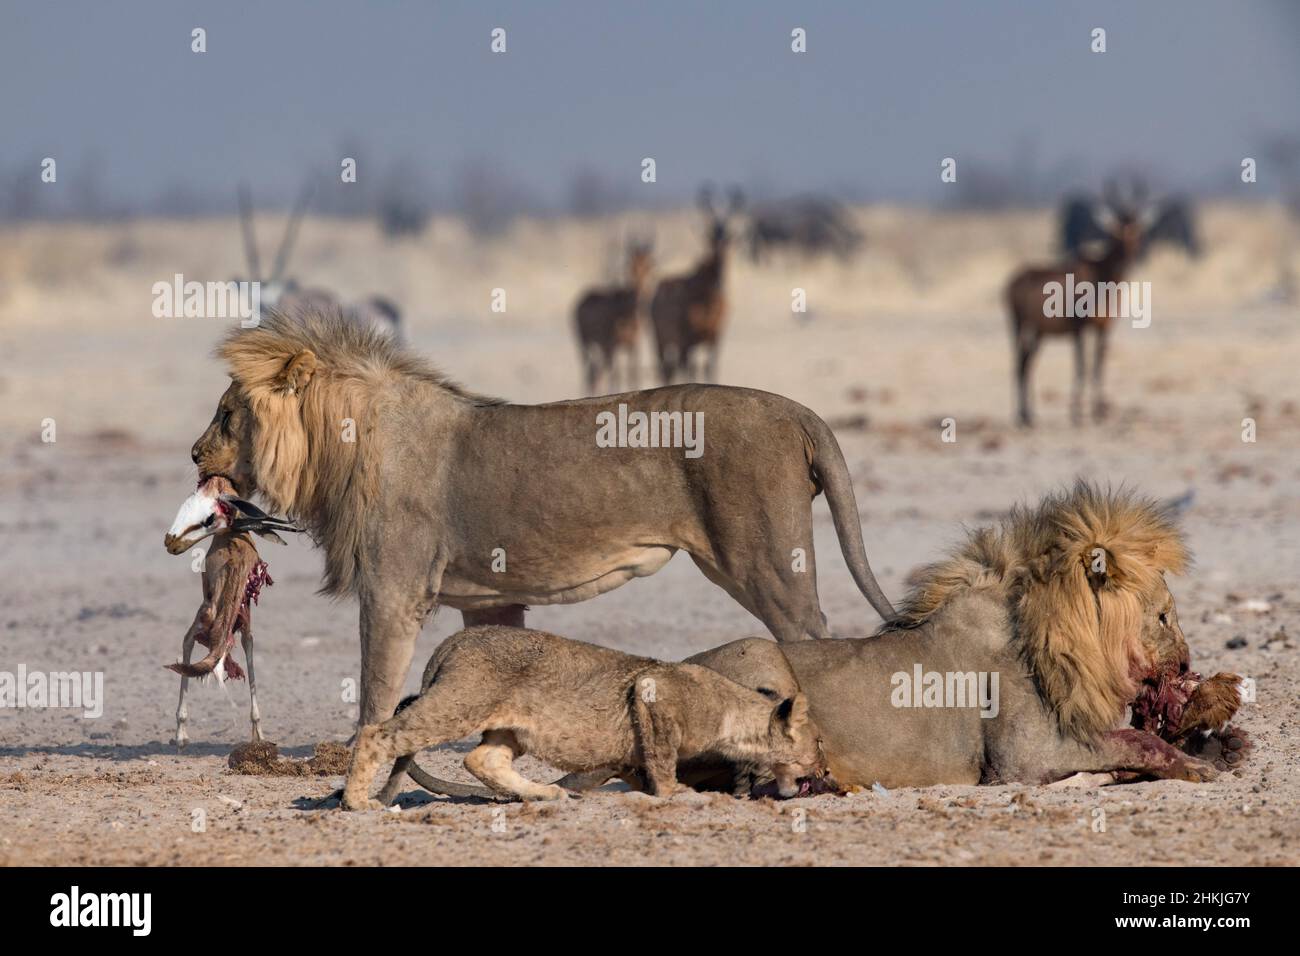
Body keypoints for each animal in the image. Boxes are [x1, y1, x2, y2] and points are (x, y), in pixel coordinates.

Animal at [185, 308, 896, 729]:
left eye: (226, 414)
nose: (193, 453)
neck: (346, 443)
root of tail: (799, 411)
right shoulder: (490, 600)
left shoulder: (392, 590)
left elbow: (376, 688)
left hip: (765, 565)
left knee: (812, 636)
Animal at [339, 625, 825, 809]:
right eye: (818, 743)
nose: (824, 771)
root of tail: (456, 639)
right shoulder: (652, 691)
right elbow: (663, 761)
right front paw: (677, 793)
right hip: (460, 703)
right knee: (377, 733)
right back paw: (357, 801)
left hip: (509, 727)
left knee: (482, 759)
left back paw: (544, 794)